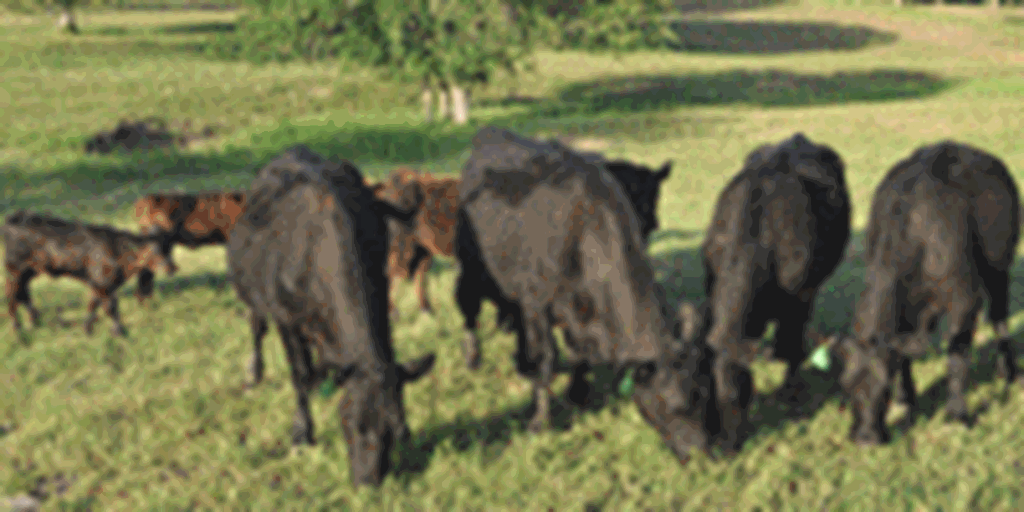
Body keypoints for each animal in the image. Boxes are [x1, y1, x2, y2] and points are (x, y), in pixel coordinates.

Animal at [3, 210, 174, 337]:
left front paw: (87, 329)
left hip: (28, 271)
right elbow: (111, 307)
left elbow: (93, 304)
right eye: (154, 250)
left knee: (23, 293)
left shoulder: (99, 283)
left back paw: (35, 321)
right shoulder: (102, 283)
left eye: (168, 249)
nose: (171, 268)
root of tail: (17, 216)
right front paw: (120, 332)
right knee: (12, 296)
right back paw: (18, 329)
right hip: (14, 270)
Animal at [227, 145, 434, 488]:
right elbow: (299, 374)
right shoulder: (287, 320)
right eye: (349, 421)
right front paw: (301, 433)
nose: (368, 483)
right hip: (253, 294)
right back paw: (253, 373)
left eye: (397, 430)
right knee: (257, 327)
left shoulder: (381, 295)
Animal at [453, 126, 721, 465]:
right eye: (676, 405)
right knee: (468, 306)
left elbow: (578, 353)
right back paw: (473, 356)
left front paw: (577, 394)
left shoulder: (576, 310)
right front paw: (539, 421)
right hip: (472, 264)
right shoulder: (537, 301)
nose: (705, 455)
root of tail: (490, 133)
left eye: (708, 394)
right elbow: (547, 357)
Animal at [696, 132, 851, 453]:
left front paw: (790, 392)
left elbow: (791, 345)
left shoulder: (799, 296)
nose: (721, 451)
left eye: (735, 396)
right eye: (702, 393)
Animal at [822, 141, 1021, 446]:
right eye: (845, 387)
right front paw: (908, 397)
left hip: (999, 269)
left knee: (999, 317)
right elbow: (903, 354)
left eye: (884, 390)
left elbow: (957, 355)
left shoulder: (964, 301)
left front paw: (958, 413)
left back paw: (1008, 371)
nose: (865, 438)